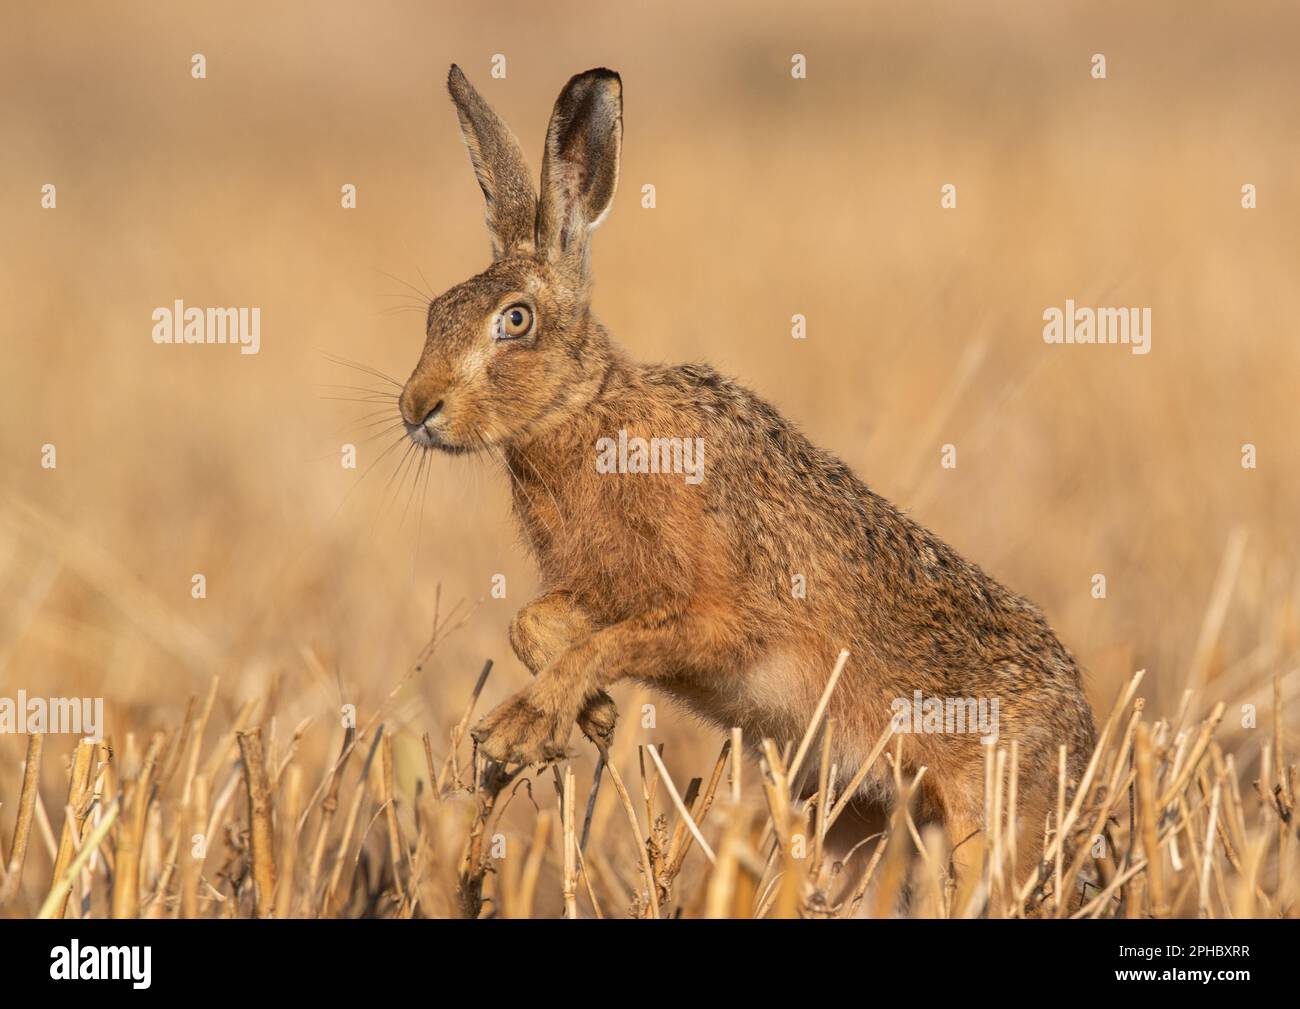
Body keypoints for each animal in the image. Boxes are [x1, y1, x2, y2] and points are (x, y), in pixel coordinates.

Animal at [397, 64, 1099, 898]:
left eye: (515, 320)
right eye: (437, 310)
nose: (416, 408)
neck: (590, 412)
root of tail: (1083, 734)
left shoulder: (721, 619)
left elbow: (615, 641)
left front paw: (518, 729)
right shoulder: (600, 589)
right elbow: (532, 624)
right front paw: (591, 716)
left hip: (986, 817)